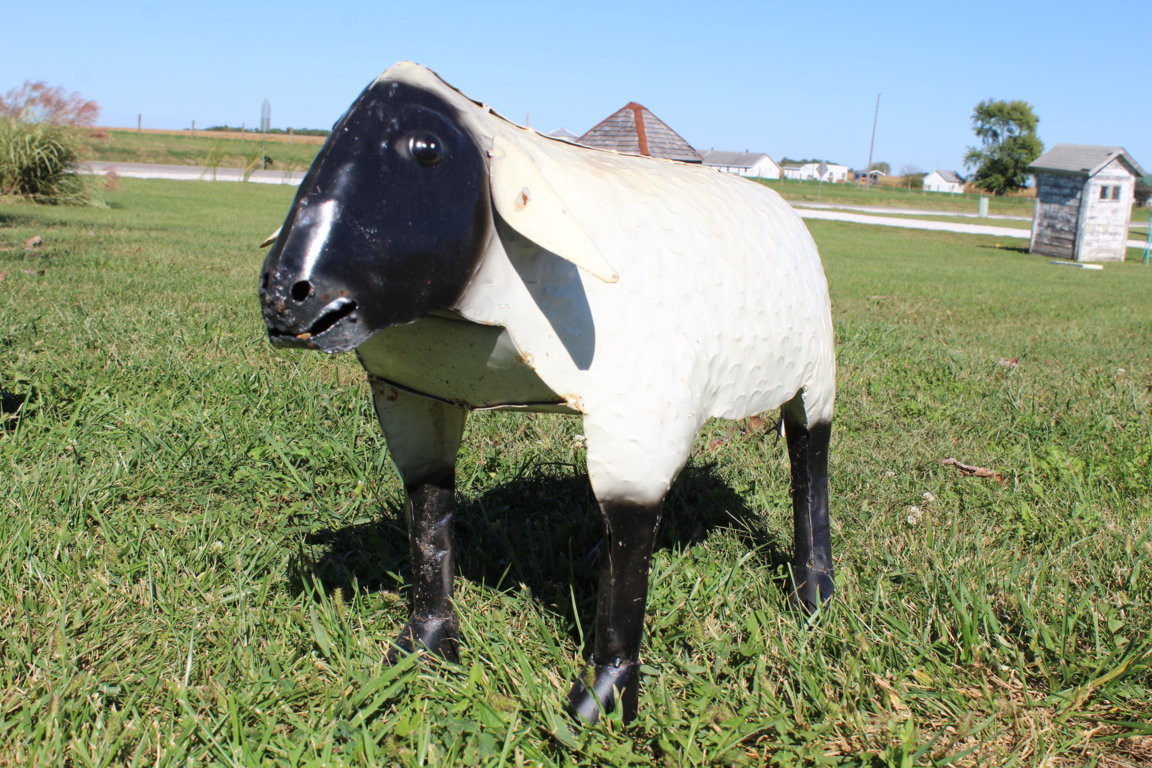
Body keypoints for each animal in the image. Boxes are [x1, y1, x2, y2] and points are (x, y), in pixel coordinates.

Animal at [259, 62, 835, 725]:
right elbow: (429, 515)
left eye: (426, 149)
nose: (285, 294)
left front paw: (600, 701)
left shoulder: (637, 415)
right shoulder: (416, 393)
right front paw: (423, 648)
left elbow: (631, 548)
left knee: (809, 460)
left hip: (814, 377)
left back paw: (814, 591)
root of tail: (781, 204)